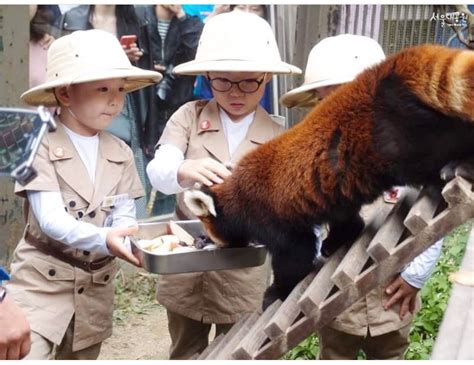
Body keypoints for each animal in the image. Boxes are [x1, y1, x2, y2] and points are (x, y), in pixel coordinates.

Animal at [183, 44, 474, 308]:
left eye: (207, 230)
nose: (203, 241)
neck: (238, 196)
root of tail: (385, 71)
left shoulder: (271, 217)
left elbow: (295, 253)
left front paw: (276, 292)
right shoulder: (333, 197)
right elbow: (346, 219)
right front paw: (337, 241)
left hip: (402, 140)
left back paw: (462, 165)